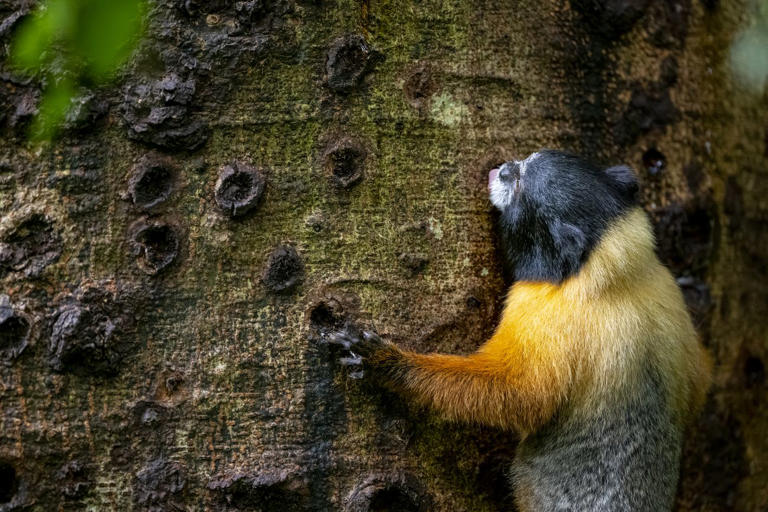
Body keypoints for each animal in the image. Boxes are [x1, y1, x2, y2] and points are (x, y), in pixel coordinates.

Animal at [326, 150, 712, 512]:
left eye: (518, 182)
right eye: (524, 162)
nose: (505, 167)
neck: (615, 281)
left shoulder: (546, 311)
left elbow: (519, 395)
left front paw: (389, 365)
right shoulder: (667, 292)